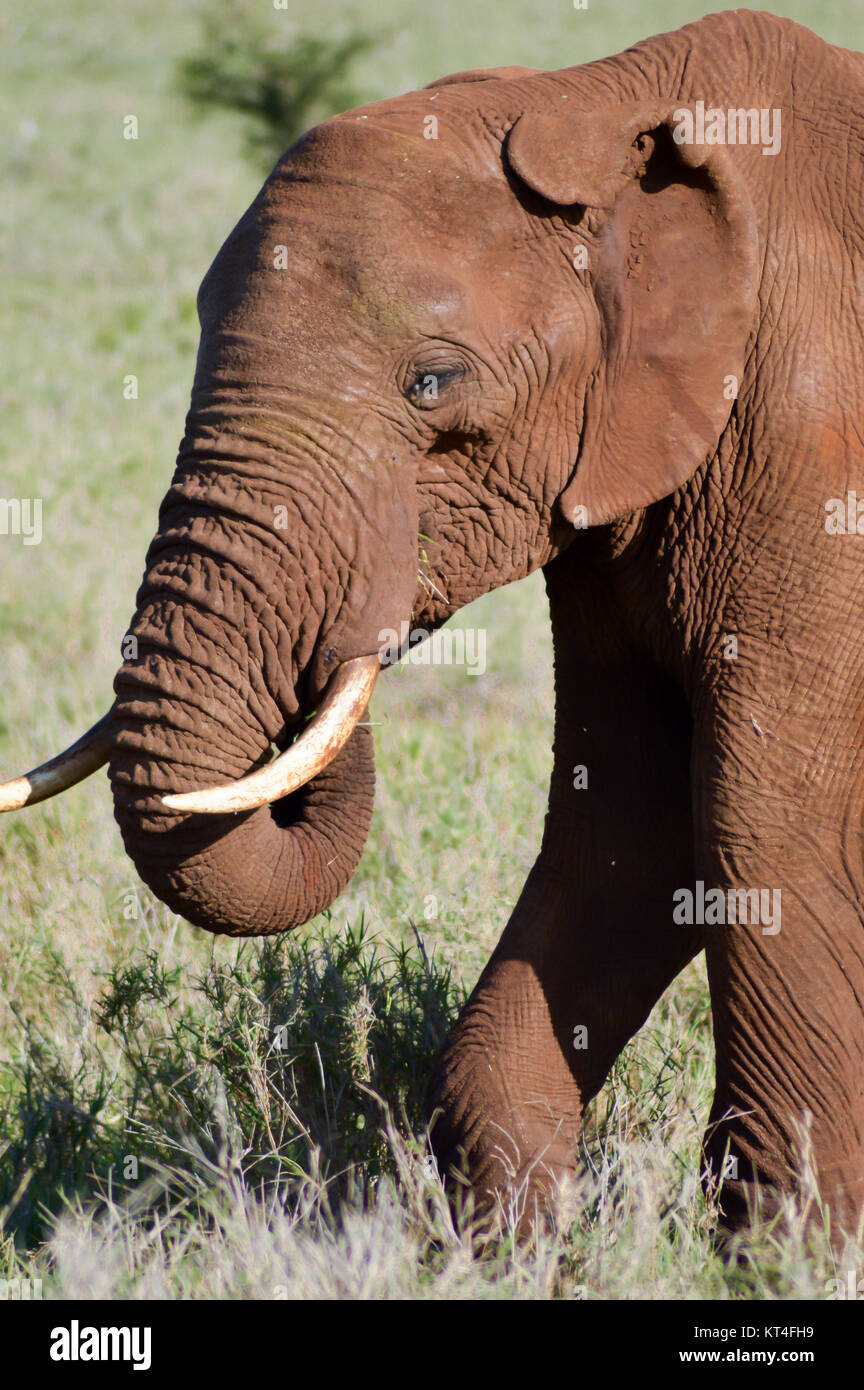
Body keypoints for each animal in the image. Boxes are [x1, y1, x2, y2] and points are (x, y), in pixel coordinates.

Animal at [4, 8, 864, 1239]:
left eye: (432, 384)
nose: (332, 647)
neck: (598, 105)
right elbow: (630, 819)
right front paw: (511, 1247)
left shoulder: (815, 455)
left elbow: (759, 829)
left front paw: (784, 1249)